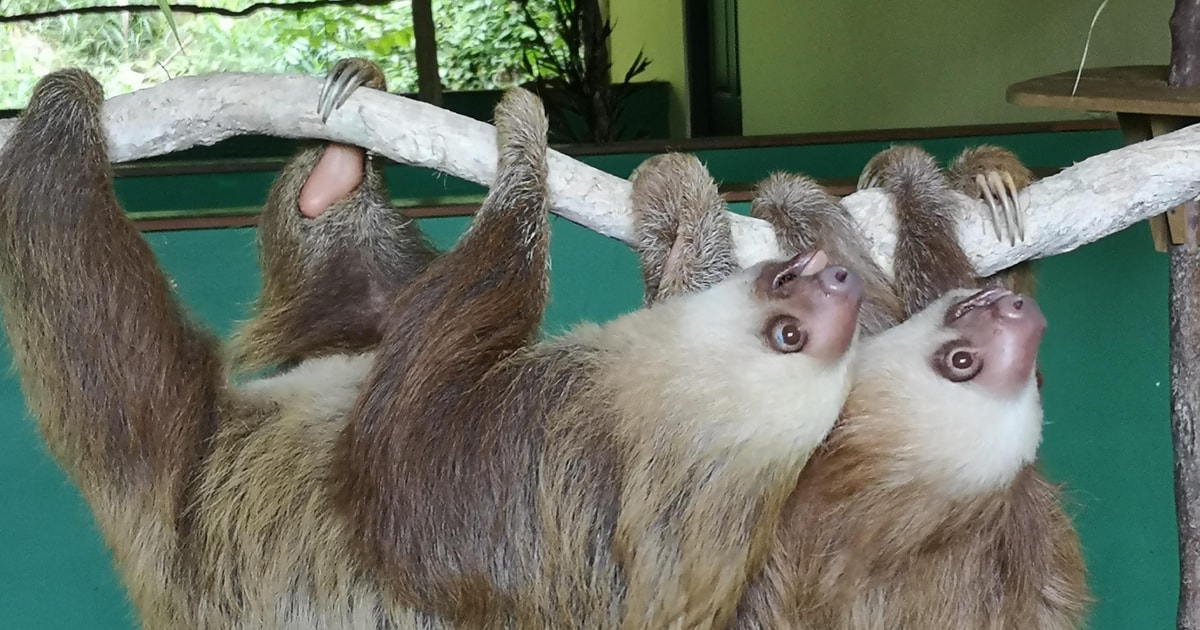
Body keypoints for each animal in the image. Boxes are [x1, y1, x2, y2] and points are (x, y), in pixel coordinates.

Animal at [0, 68, 867, 629]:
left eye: (786, 335)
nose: (833, 278)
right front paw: (688, 217)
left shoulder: (530, 463)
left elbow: (401, 449)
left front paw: (525, 153)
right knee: (364, 308)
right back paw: (336, 171)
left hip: (169, 483)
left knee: (103, 343)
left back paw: (59, 119)